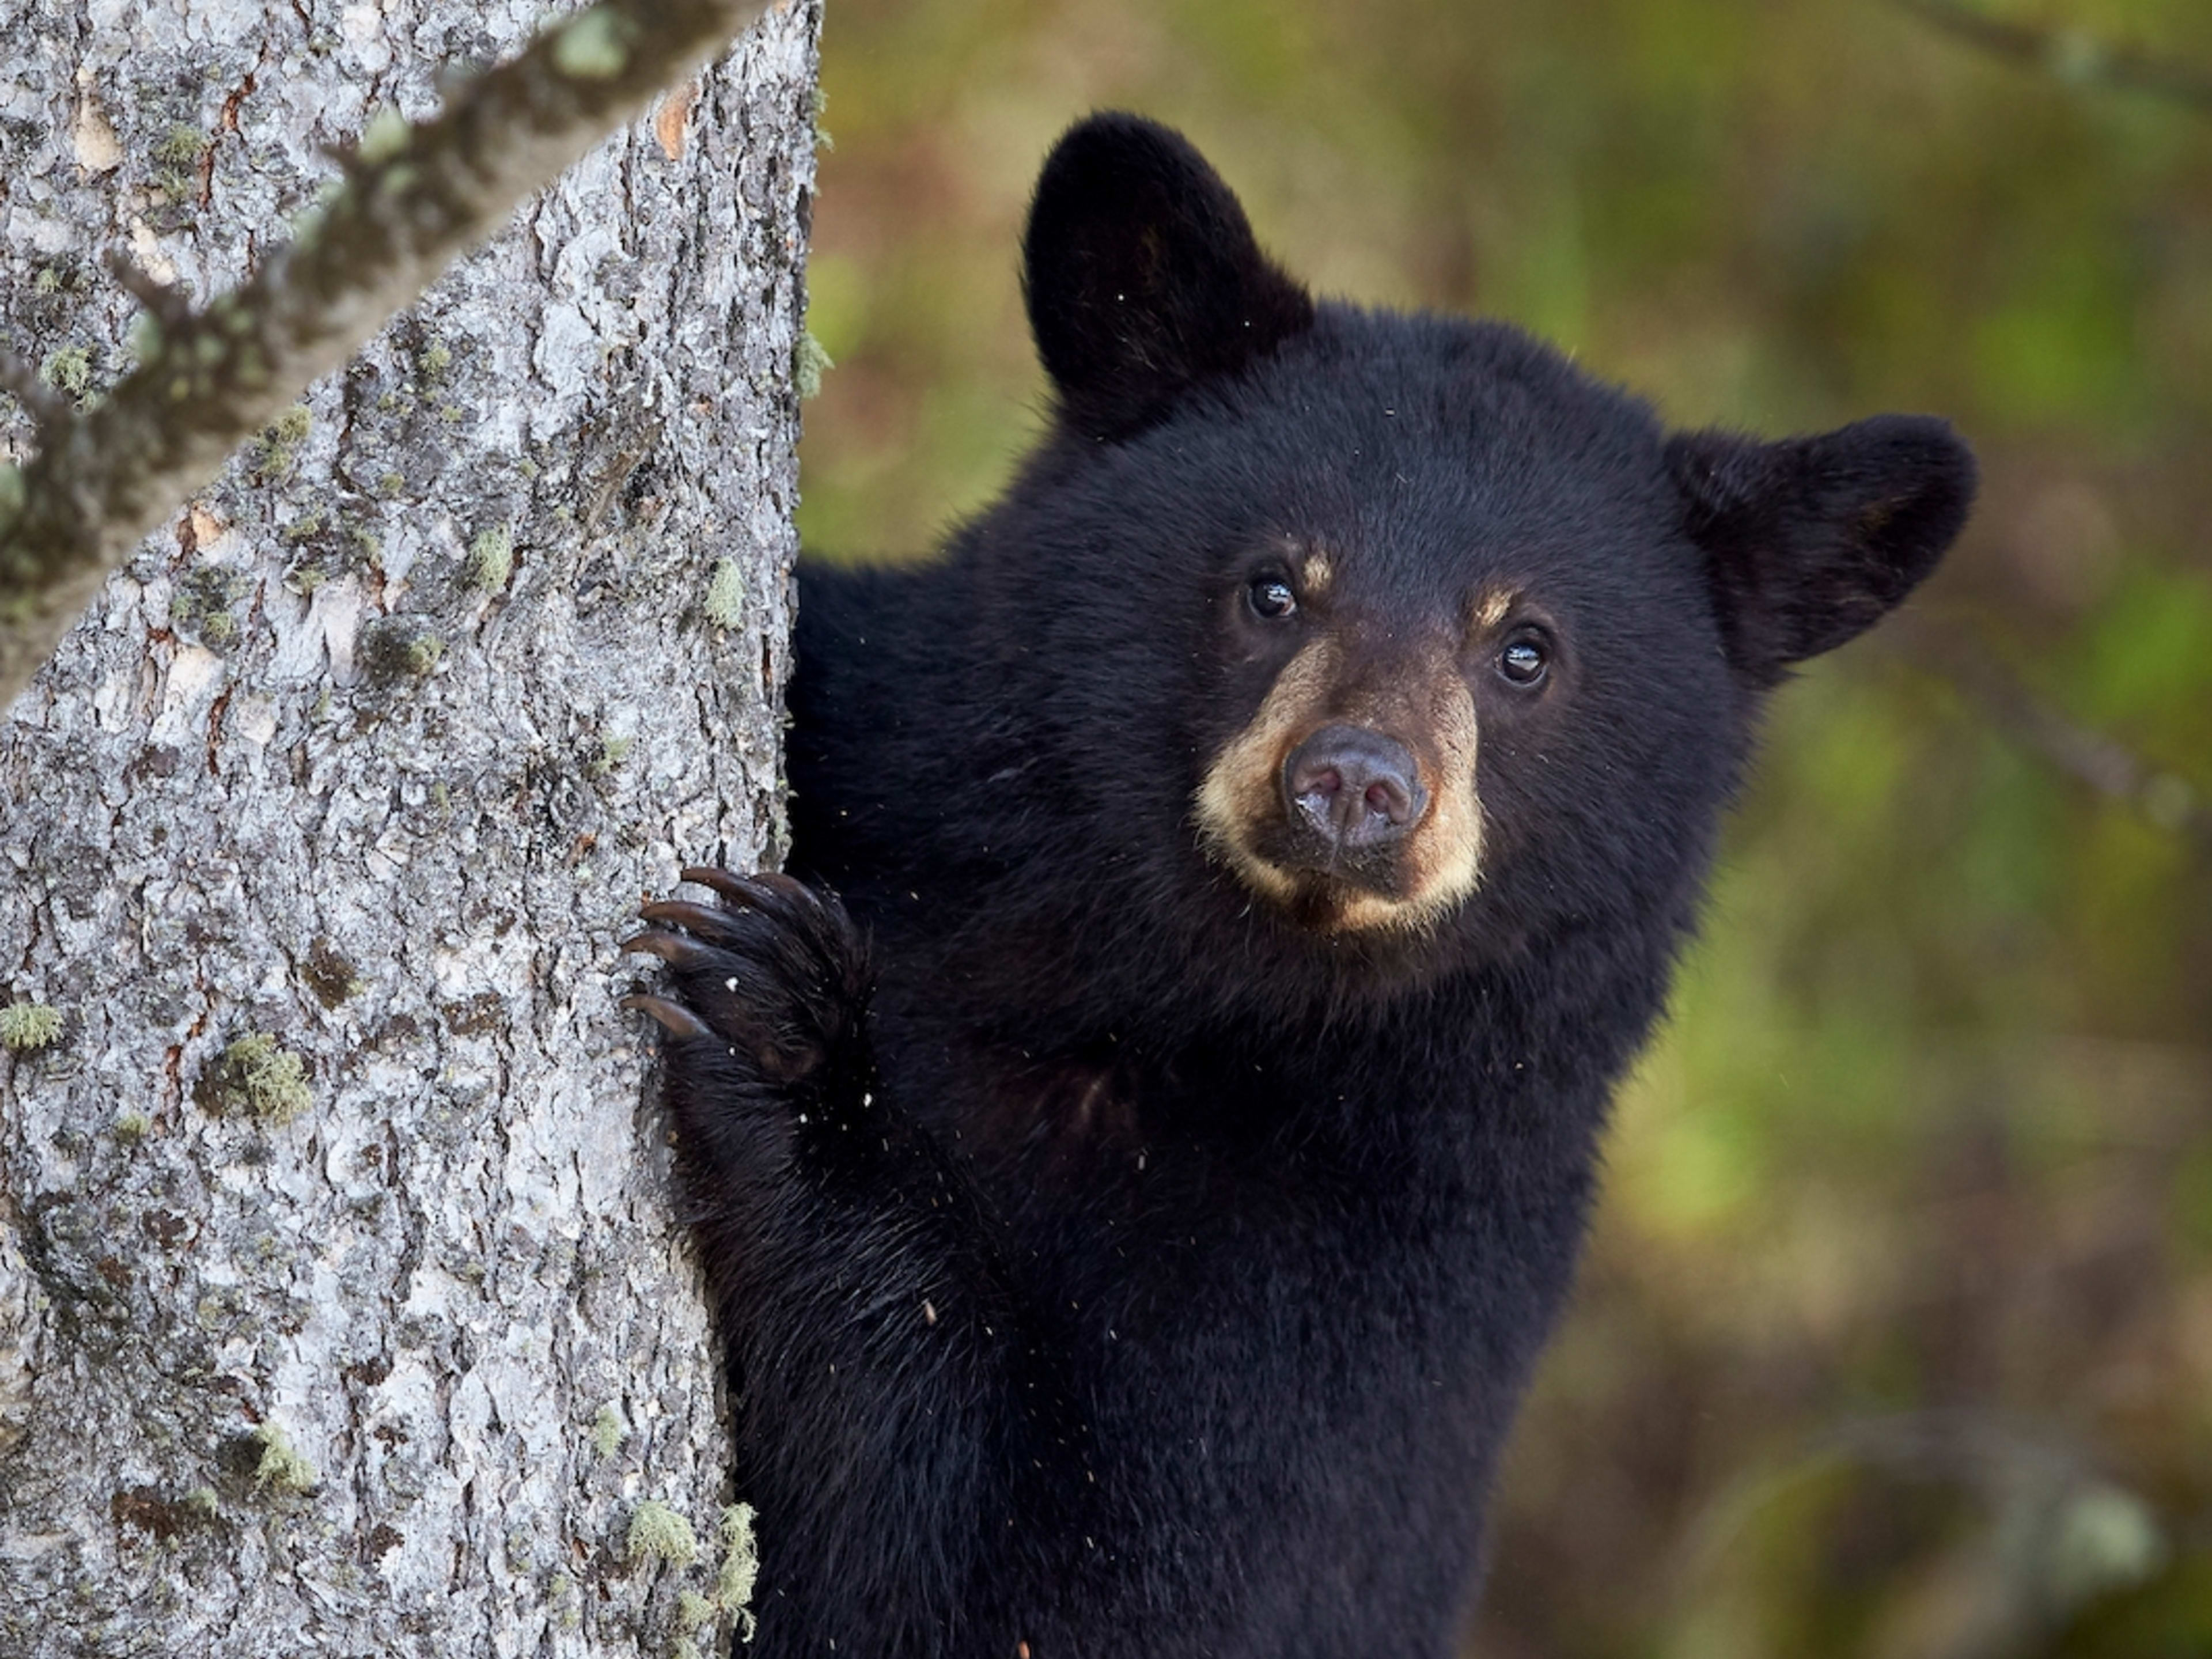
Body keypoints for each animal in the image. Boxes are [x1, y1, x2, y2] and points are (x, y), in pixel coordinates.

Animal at [624, 112, 1975, 1658]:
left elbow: (1036, 1579)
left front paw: (786, 1031)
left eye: (1525, 649)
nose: (1355, 784)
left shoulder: (1385, 1282)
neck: (1157, 992)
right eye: (1274, 586)